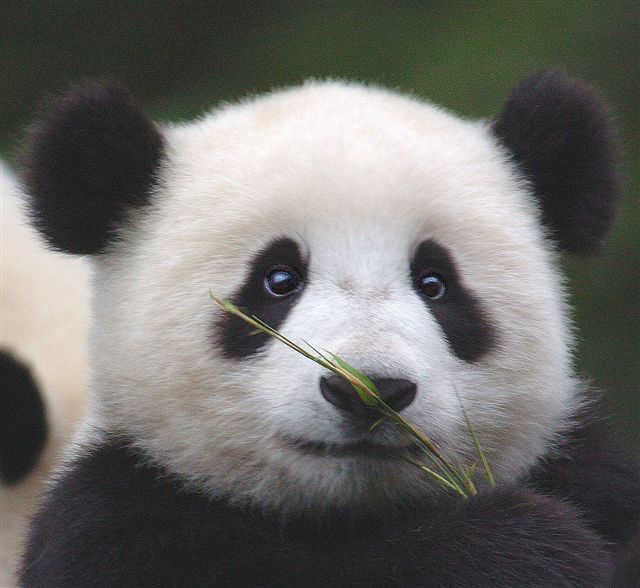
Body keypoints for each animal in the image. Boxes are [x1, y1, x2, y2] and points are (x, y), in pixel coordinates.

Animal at [18, 72, 640, 587]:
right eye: (278, 280)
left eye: (435, 283)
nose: (372, 391)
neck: (347, 518)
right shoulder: (118, 517)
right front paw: (520, 548)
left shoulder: (584, 472)